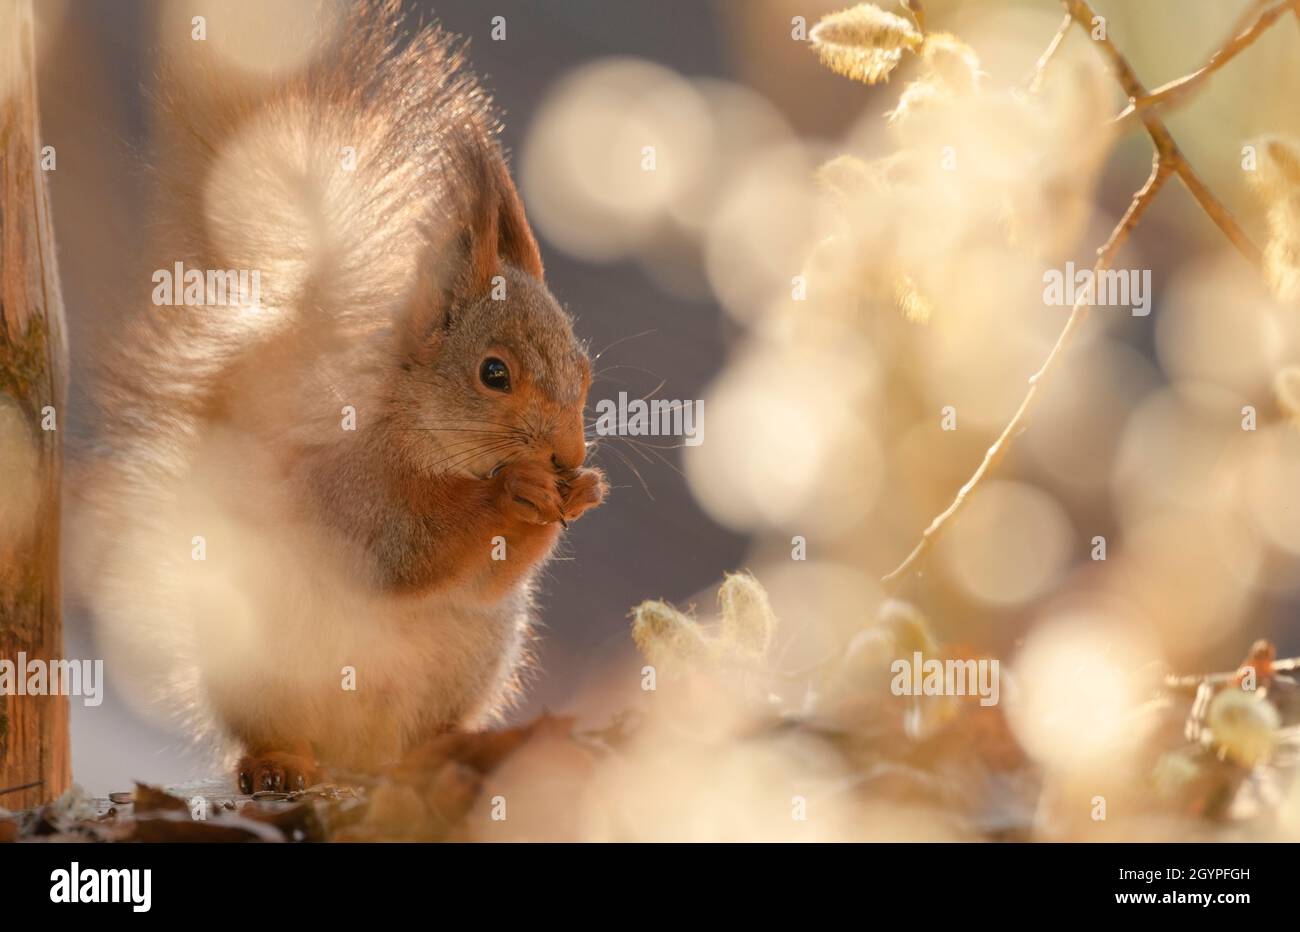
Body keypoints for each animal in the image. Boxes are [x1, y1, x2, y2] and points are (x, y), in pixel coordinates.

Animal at [73, 0, 606, 792]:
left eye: (584, 368)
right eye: (494, 373)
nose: (568, 455)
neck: (423, 440)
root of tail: (357, 754)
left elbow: (485, 578)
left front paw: (582, 492)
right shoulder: (351, 489)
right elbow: (404, 553)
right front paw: (512, 492)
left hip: (470, 661)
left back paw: (448, 747)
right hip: (260, 668)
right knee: (274, 734)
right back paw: (278, 763)